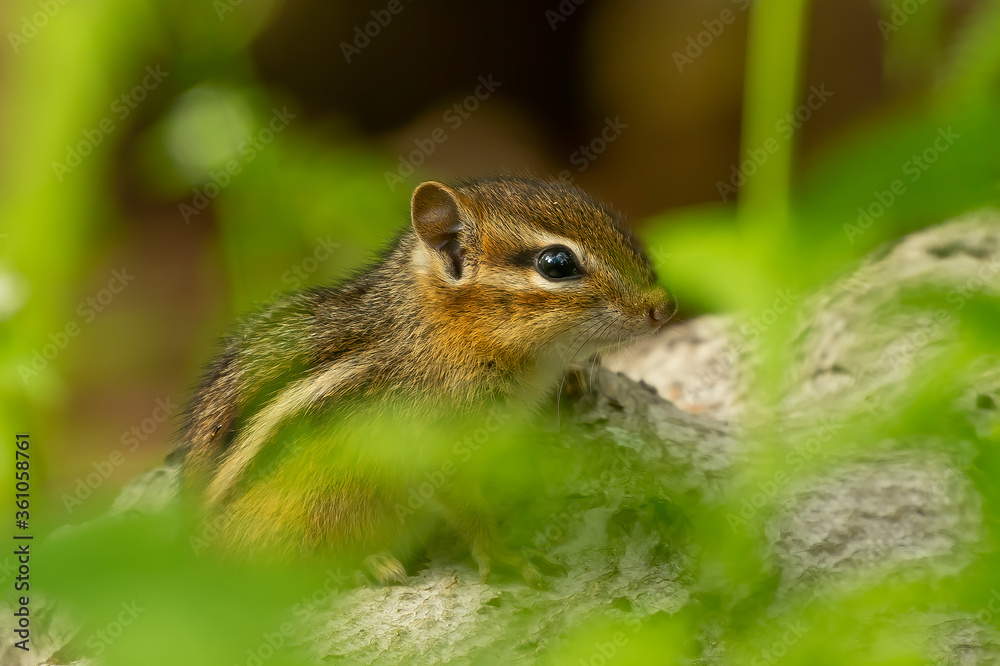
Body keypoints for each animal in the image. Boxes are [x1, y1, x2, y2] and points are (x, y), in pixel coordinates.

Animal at [176, 174, 676, 585]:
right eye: (556, 264)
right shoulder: (428, 437)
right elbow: (463, 505)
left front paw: (574, 378)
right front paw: (504, 555)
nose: (664, 307)